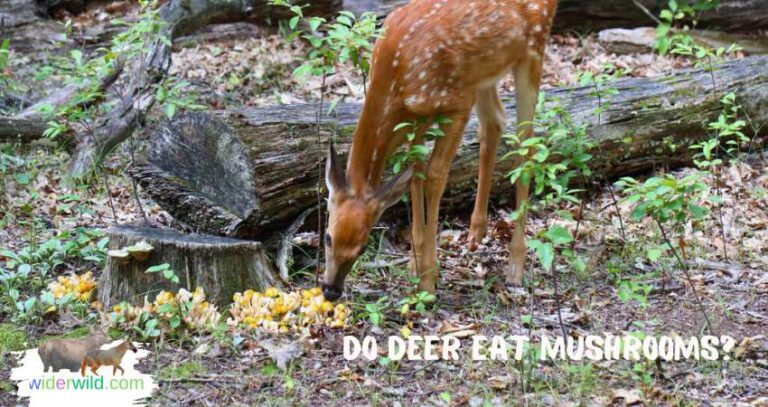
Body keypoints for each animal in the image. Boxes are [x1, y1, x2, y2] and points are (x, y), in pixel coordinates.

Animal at [321, 0, 558, 301]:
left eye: (363, 246)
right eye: (328, 236)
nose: (330, 290)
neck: (396, 72)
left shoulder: (458, 101)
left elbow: (434, 176)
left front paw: (428, 280)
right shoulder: (418, 117)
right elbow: (414, 172)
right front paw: (414, 263)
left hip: (532, 50)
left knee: (526, 143)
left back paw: (515, 267)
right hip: (484, 73)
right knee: (493, 124)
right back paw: (476, 231)